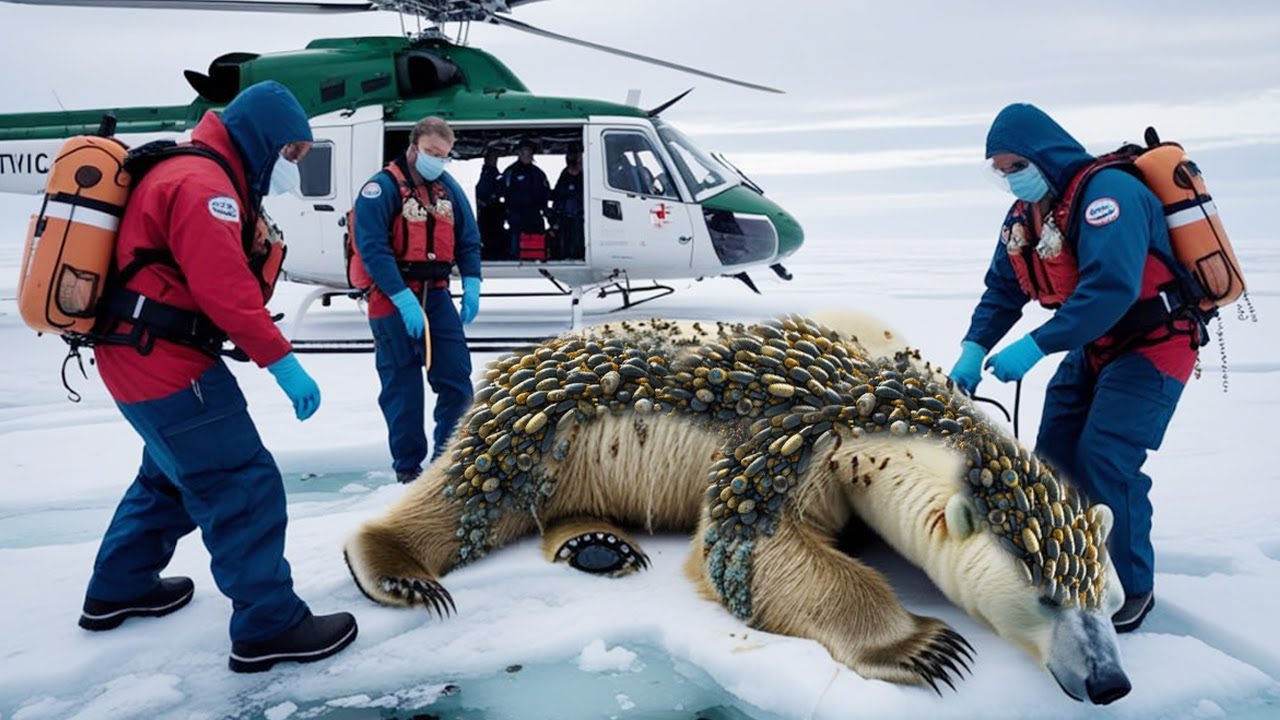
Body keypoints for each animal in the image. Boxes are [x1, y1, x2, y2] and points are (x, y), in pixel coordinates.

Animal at [344, 311, 1132, 704]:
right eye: (1044, 598)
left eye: (1107, 596)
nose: (1111, 682)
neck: (876, 391)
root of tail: (514, 359)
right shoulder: (792, 442)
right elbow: (751, 546)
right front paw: (925, 645)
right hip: (538, 427)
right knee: (469, 494)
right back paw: (399, 568)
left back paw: (598, 545)